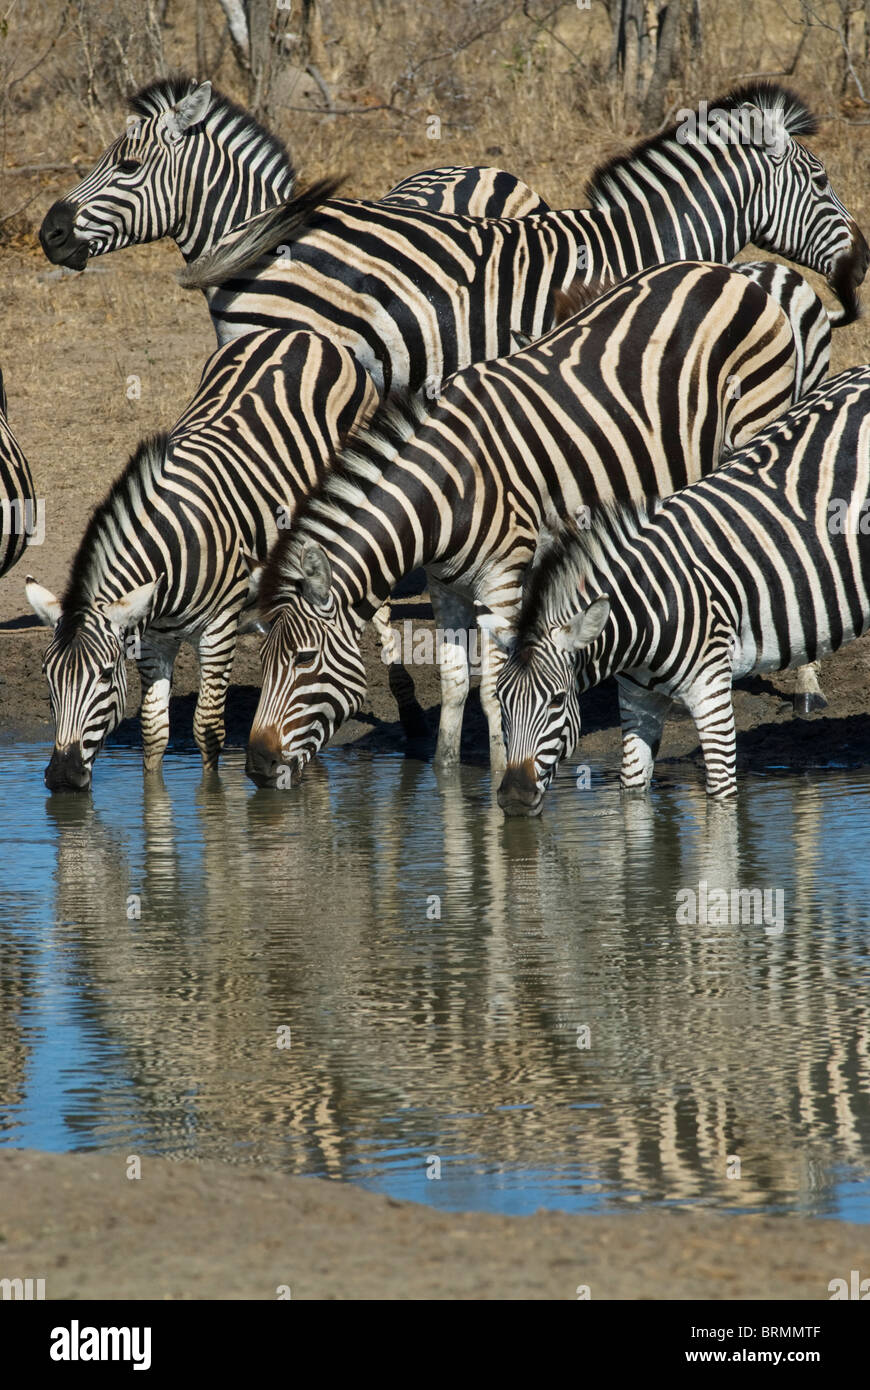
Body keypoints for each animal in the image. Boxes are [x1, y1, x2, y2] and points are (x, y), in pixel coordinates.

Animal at [25, 327, 378, 790]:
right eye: (47, 675)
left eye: (103, 674)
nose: (63, 777)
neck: (172, 551)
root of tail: (299, 332)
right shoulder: (153, 638)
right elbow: (154, 730)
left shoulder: (219, 630)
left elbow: (207, 729)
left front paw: (213, 798)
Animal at [243, 260, 827, 787]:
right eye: (264, 659)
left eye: (303, 660)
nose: (256, 768)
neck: (448, 489)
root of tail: (723, 271)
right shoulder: (444, 584)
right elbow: (454, 680)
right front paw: (446, 778)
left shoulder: (504, 579)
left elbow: (492, 687)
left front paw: (502, 769)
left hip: (758, 419)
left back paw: (806, 686)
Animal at [488, 365, 870, 812]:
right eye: (501, 702)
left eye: (556, 702)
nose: (514, 797)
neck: (646, 611)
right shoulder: (637, 701)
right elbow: (633, 790)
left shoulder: (711, 688)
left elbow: (721, 797)